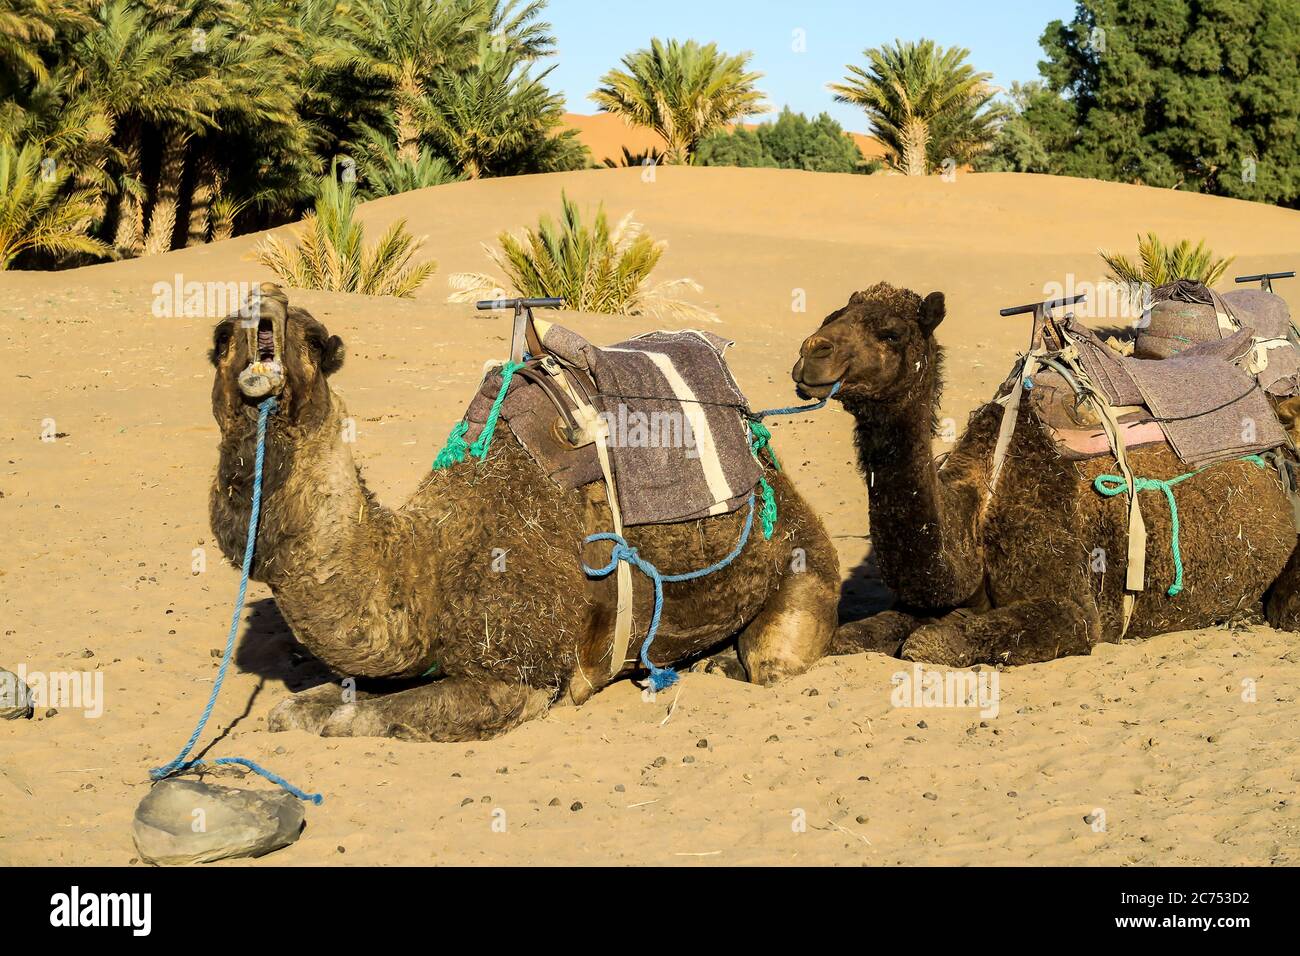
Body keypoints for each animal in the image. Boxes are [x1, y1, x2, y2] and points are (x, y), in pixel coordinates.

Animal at [206, 285, 839, 741]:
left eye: (314, 339)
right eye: (220, 336)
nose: (264, 305)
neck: (428, 568)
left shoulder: (519, 681)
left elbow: (362, 716)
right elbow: (303, 705)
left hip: (802, 559)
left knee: (773, 659)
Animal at [795, 282, 1300, 667]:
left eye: (893, 333)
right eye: (832, 315)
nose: (811, 352)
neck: (977, 512)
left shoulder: (1075, 609)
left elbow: (929, 642)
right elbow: (846, 636)